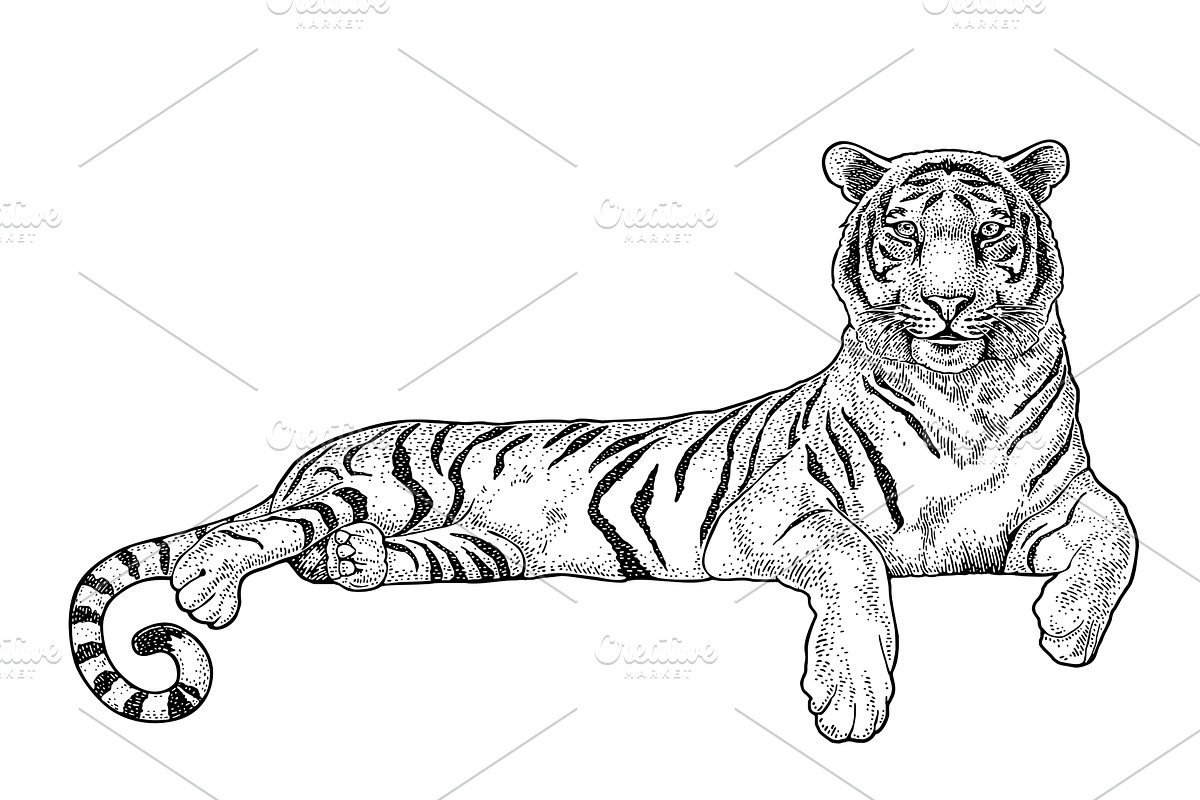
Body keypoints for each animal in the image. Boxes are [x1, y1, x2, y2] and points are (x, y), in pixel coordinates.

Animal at [70, 140, 1137, 742]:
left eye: (991, 236)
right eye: (906, 235)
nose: (948, 303)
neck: (968, 396)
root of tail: (321, 449)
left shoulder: (1056, 507)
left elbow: (1119, 534)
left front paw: (1067, 628)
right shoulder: (767, 518)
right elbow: (855, 558)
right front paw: (849, 696)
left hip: (472, 551)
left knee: (336, 558)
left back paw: (358, 564)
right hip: (383, 484)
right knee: (249, 534)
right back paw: (210, 592)